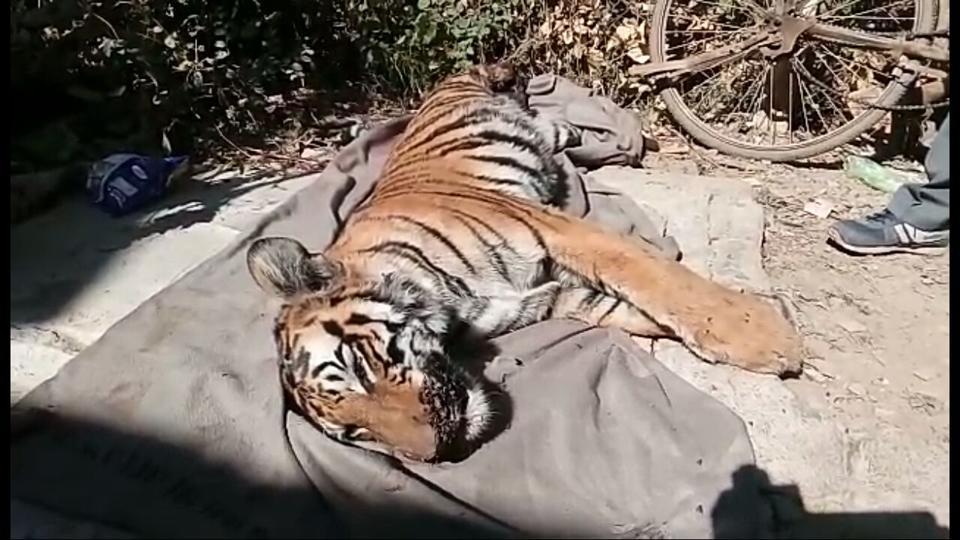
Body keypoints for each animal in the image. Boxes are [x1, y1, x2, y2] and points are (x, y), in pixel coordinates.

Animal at [246, 63, 804, 463]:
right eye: (355, 432)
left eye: (357, 369)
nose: (440, 452)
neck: (452, 311)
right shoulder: (555, 297)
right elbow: (633, 312)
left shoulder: (556, 230)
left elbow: (655, 278)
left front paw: (765, 334)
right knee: (550, 126)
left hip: (471, 85)